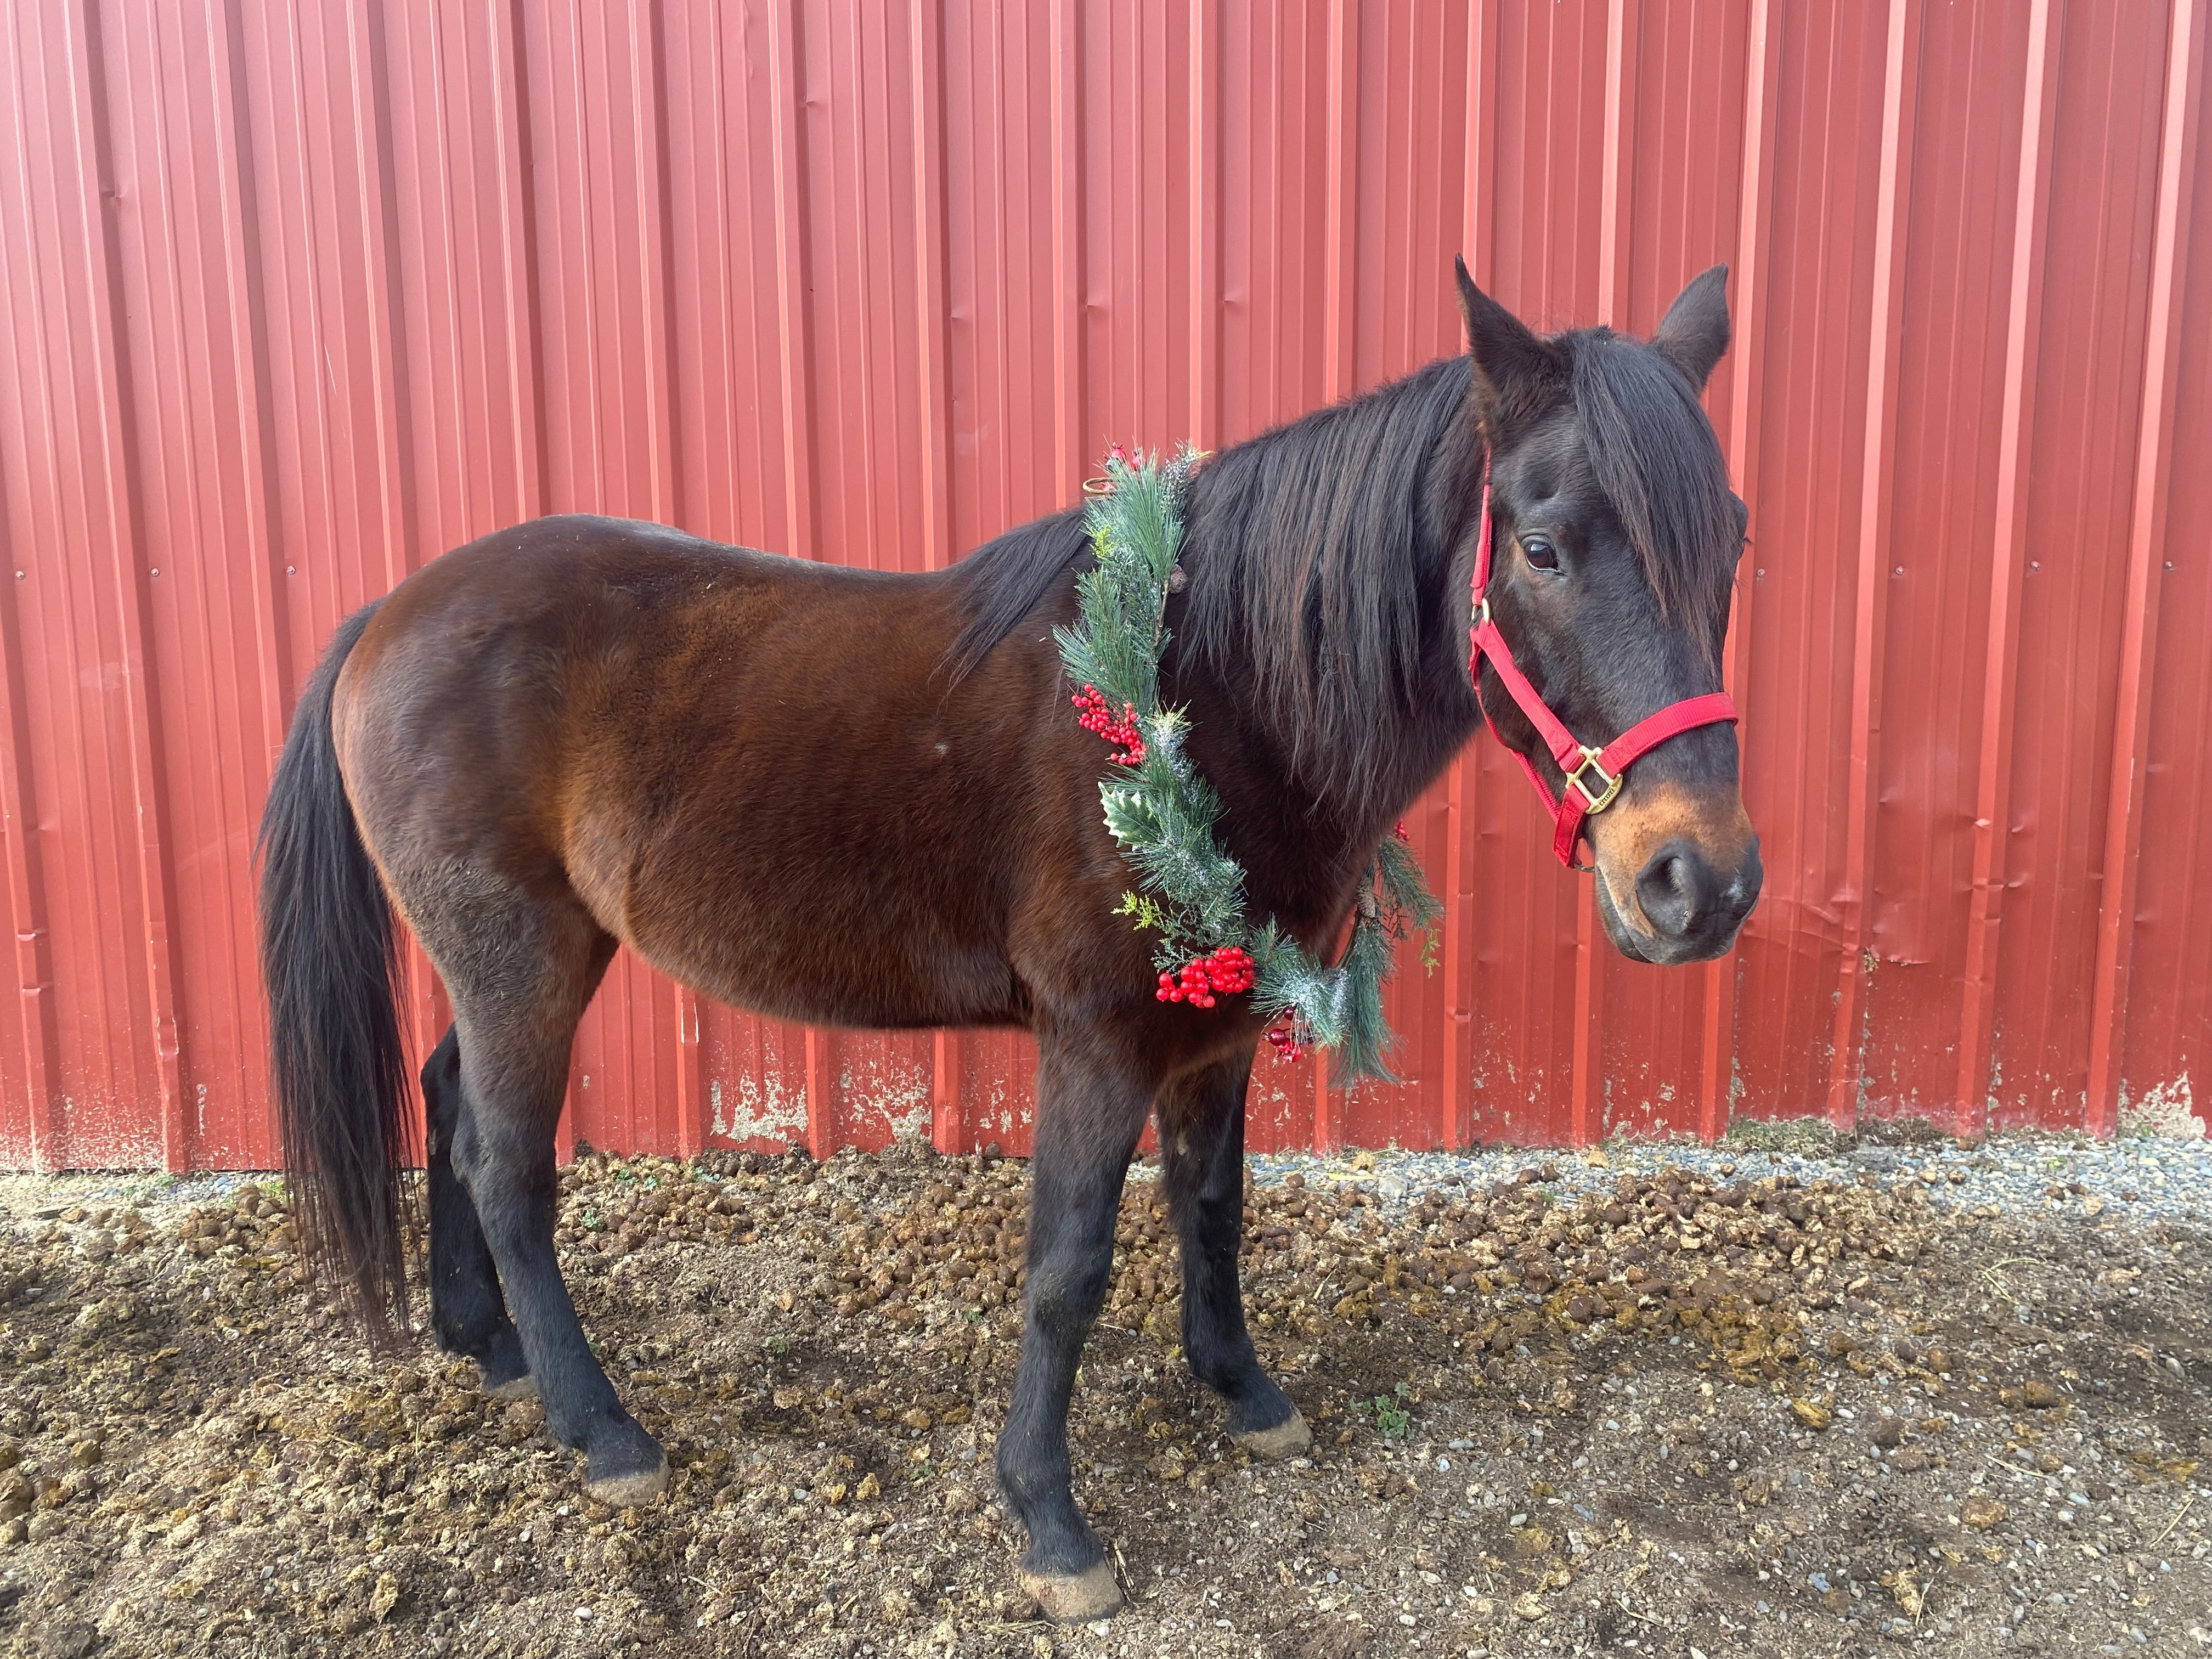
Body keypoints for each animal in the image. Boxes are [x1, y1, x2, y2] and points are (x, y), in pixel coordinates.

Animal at [256, 261, 1759, 1622]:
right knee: (508, 1167)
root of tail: (386, 618)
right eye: (1544, 546)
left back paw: (486, 1348)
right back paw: (603, 1429)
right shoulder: (1096, 1043)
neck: (1204, 694)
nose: (1701, 884)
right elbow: (1067, 1267)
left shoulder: (1214, 1030)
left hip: (514, 958)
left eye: (1734, 544)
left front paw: (1242, 1389)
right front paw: (1047, 1517)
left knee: (448, 1103)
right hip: (524, 958)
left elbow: (1211, 1209)